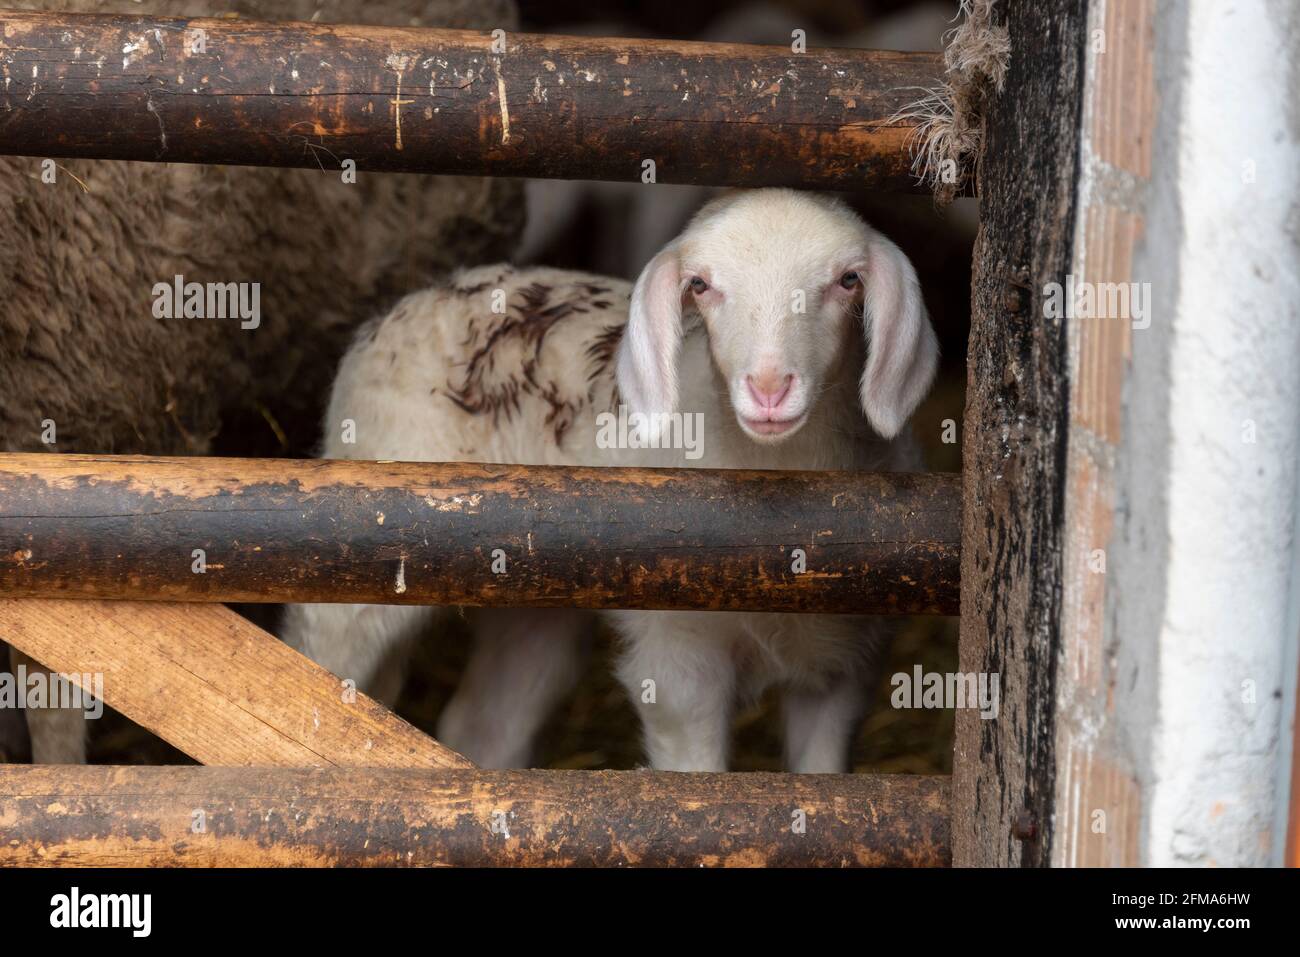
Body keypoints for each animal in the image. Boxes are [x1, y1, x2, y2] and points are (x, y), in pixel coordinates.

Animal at [283, 188, 938, 772]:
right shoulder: (678, 661)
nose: (770, 387)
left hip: (534, 605)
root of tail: (412, 301)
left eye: (848, 281)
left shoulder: (842, 670)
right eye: (701, 285)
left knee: (483, 725)